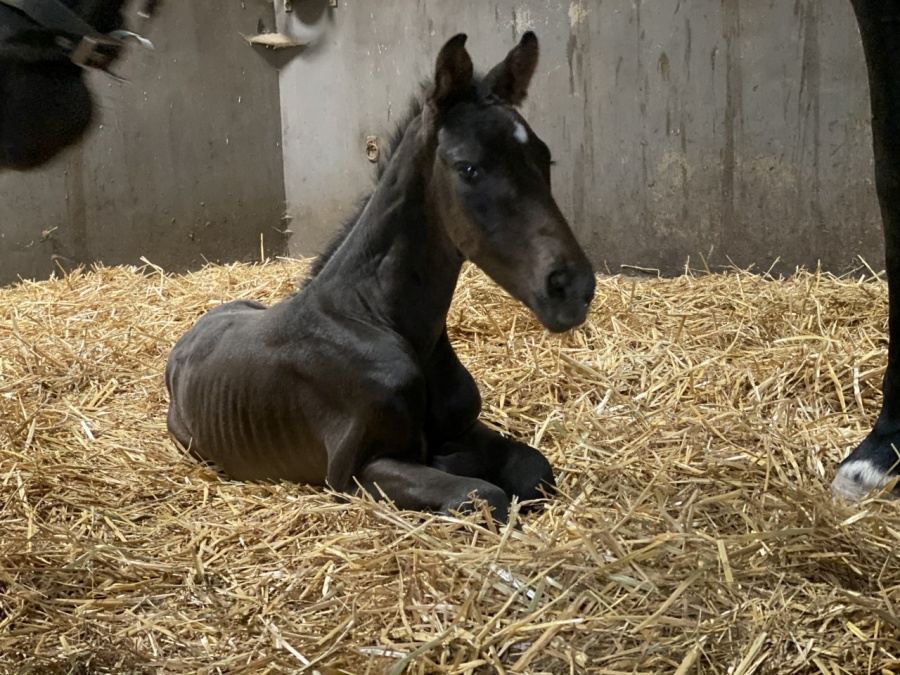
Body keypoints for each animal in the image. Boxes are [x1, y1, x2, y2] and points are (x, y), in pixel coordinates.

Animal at [165, 32, 596, 522]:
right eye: (468, 167)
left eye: (544, 157)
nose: (572, 288)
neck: (373, 317)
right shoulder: (353, 473)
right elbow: (484, 495)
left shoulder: (462, 430)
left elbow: (533, 468)